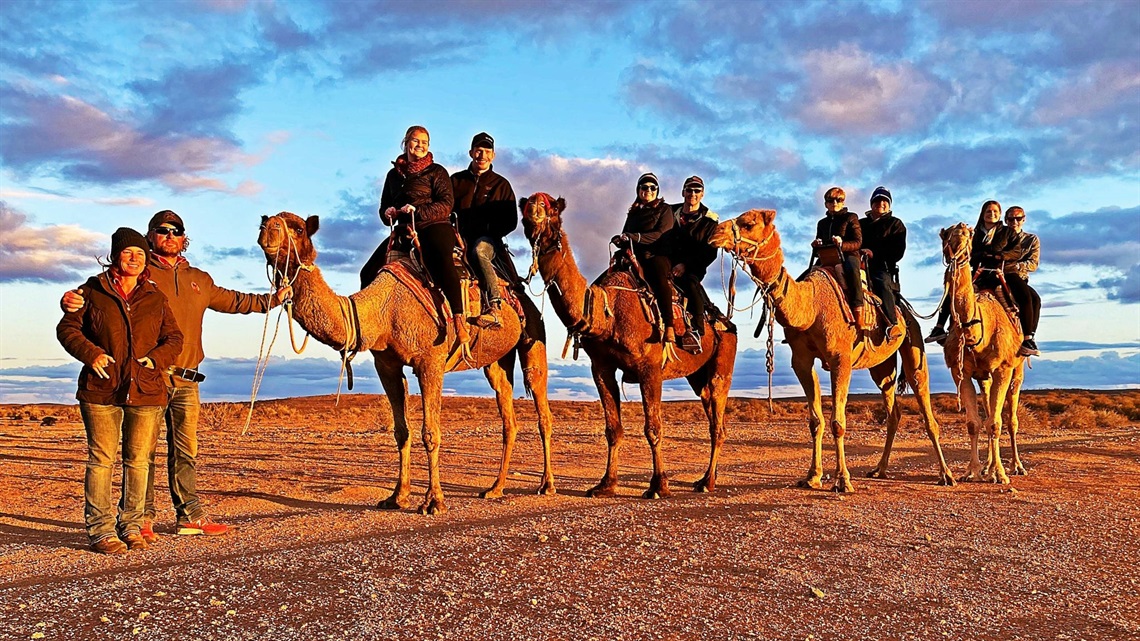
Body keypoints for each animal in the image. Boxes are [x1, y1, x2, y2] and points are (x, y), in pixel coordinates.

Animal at [257, 212, 555, 515]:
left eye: (297, 228)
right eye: (268, 220)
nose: (266, 227)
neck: (385, 309)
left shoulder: (430, 362)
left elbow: (430, 432)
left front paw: (433, 501)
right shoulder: (387, 366)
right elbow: (401, 431)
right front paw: (397, 496)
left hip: (534, 334)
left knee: (541, 405)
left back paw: (546, 485)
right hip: (496, 361)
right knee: (507, 413)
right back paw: (495, 488)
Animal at [519, 194, 737, 498]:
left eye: (551, 209)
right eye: (525, 212)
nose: (533, 214)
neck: (606, 311)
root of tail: (724, 321)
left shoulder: (650, 368)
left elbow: (653, 428)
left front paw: (658, 485)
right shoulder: (602, 367)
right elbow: (613, 429)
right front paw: (605, 484)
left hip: (723, 363)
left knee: (718, 422)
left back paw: (707, 481)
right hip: (697, 376)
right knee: (709, 408)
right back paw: (704, 479)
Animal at [709, 209, 955, 491]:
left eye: (748, 223)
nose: (715, 233)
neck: (811, 305)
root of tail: (903, 307)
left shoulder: (840, 359)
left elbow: (838, 422)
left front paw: (842, 480)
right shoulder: (801, 360)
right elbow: (816, 421)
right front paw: (812, 476)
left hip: (913, 344)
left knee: (925, 405)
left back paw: (946, 475)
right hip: (881, 366)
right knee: (892, 409)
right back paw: (879, 469)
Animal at [938, 223, 1027, 484]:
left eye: (967, 236)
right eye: (945, 237)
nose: (955, 256)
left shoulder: (1003, 369)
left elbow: (996, 423)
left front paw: (1000, 474)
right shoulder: (961, 372)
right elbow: (974, 423)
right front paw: (973, 470)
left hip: (1017, 370)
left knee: (1010, 419)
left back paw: (1016, 466)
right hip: (984, 377)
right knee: (988, 409)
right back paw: (988, 466)